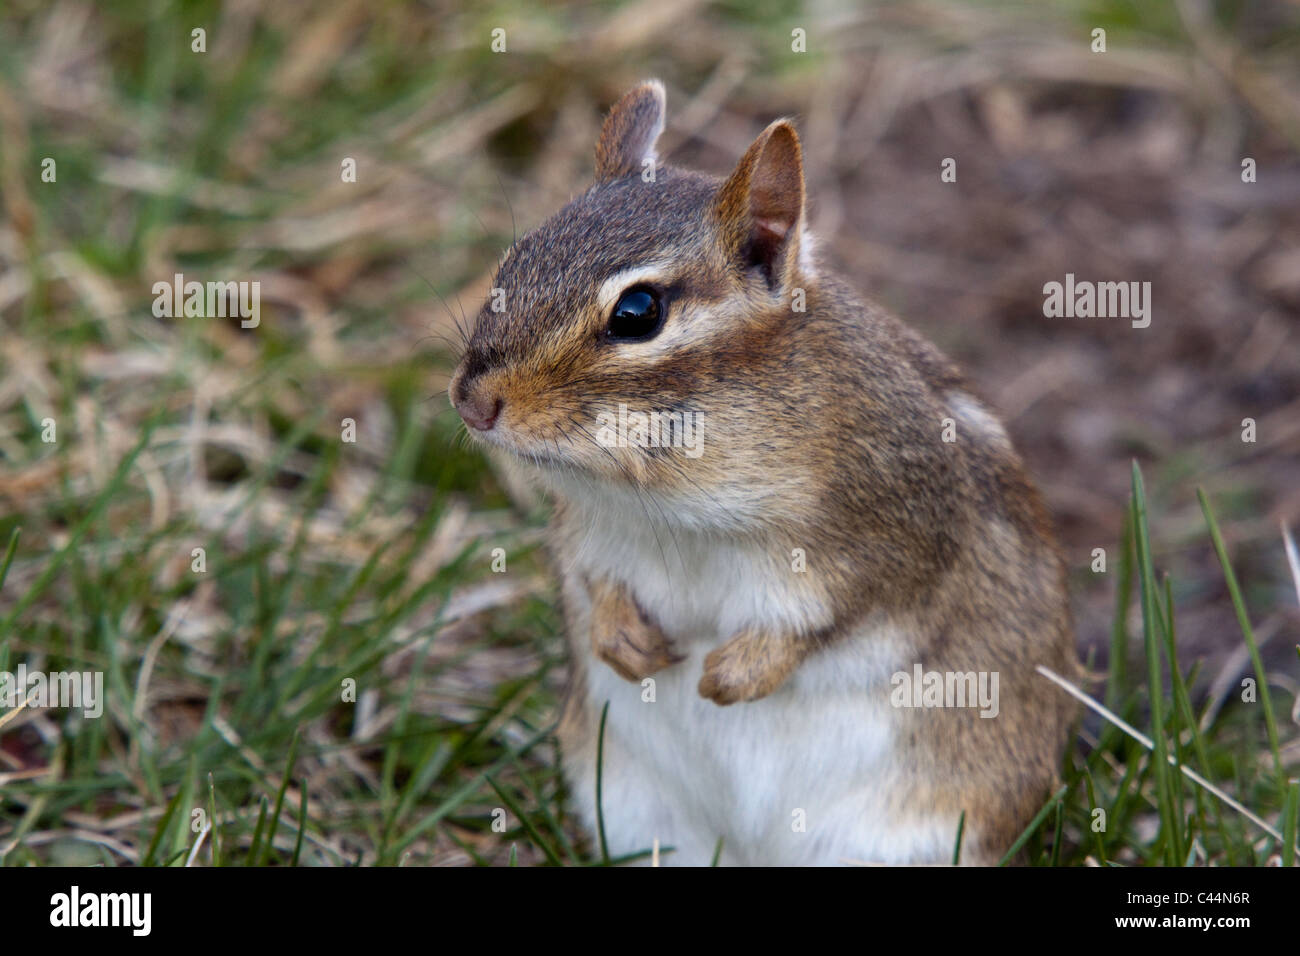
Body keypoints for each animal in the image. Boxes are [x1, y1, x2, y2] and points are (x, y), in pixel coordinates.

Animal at [449, 80, 1080, 865]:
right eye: (514, 259)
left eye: (638, 312)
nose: (471, 400)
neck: (669, 501)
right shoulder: (586, 531)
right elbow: (592, 580)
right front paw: (624, 640)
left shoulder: (901, 525)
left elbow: (845, 611)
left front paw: (734, 673)